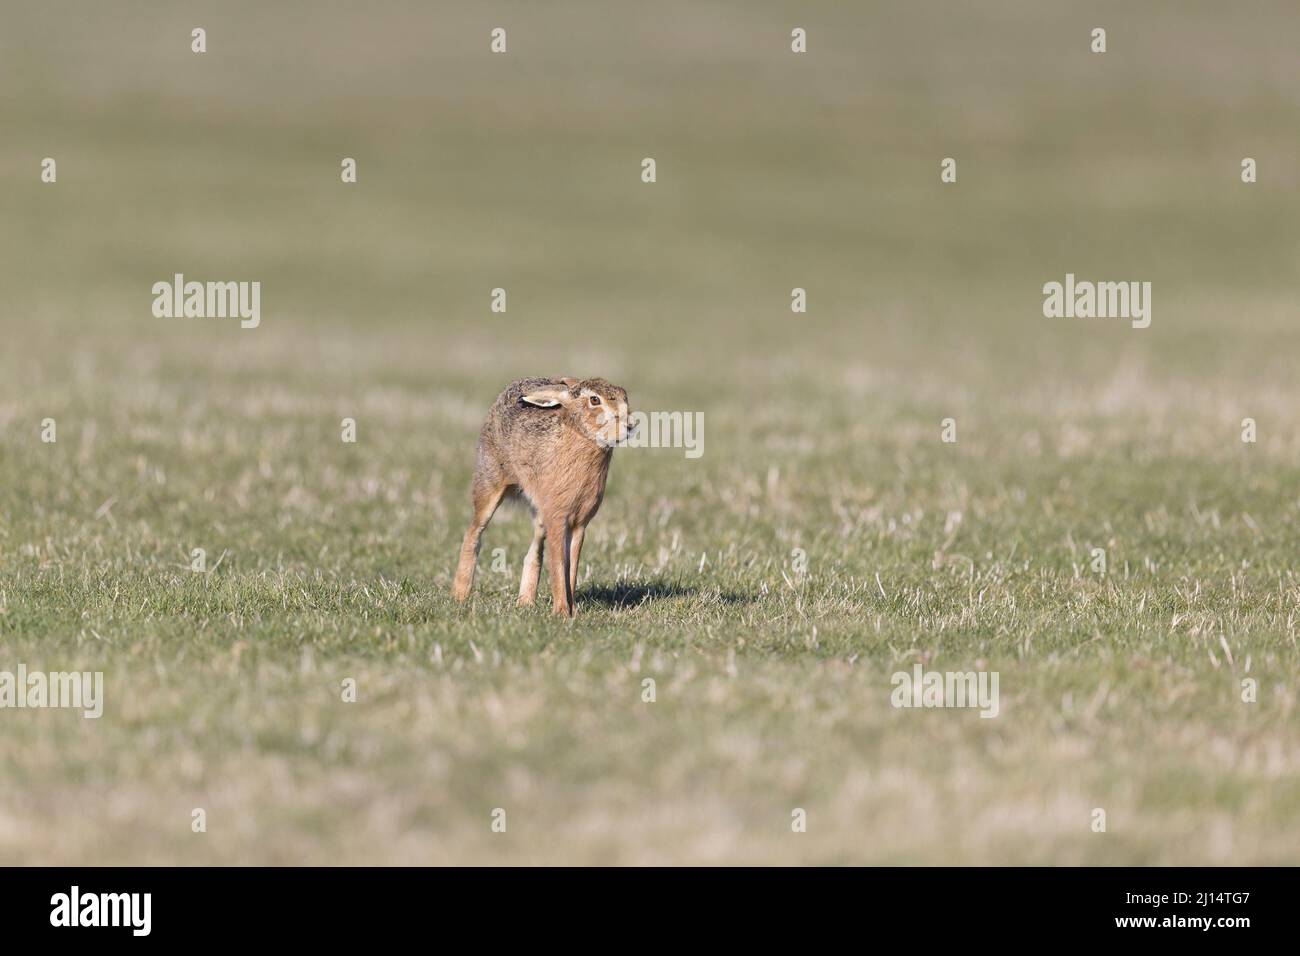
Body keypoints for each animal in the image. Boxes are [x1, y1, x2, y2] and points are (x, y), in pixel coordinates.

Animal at [451, 377, 633, 617]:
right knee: (474, 532)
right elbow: (558, 565)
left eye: (624, 395)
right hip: (489, 483)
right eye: (594, 400)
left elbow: (571, 567)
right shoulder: (557, 518)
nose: (629, 426)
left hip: (538, 513)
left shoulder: (579, 524)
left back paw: (525, 602)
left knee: (534, 549)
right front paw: (562, 614)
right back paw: (459, 595)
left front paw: (572, 611)